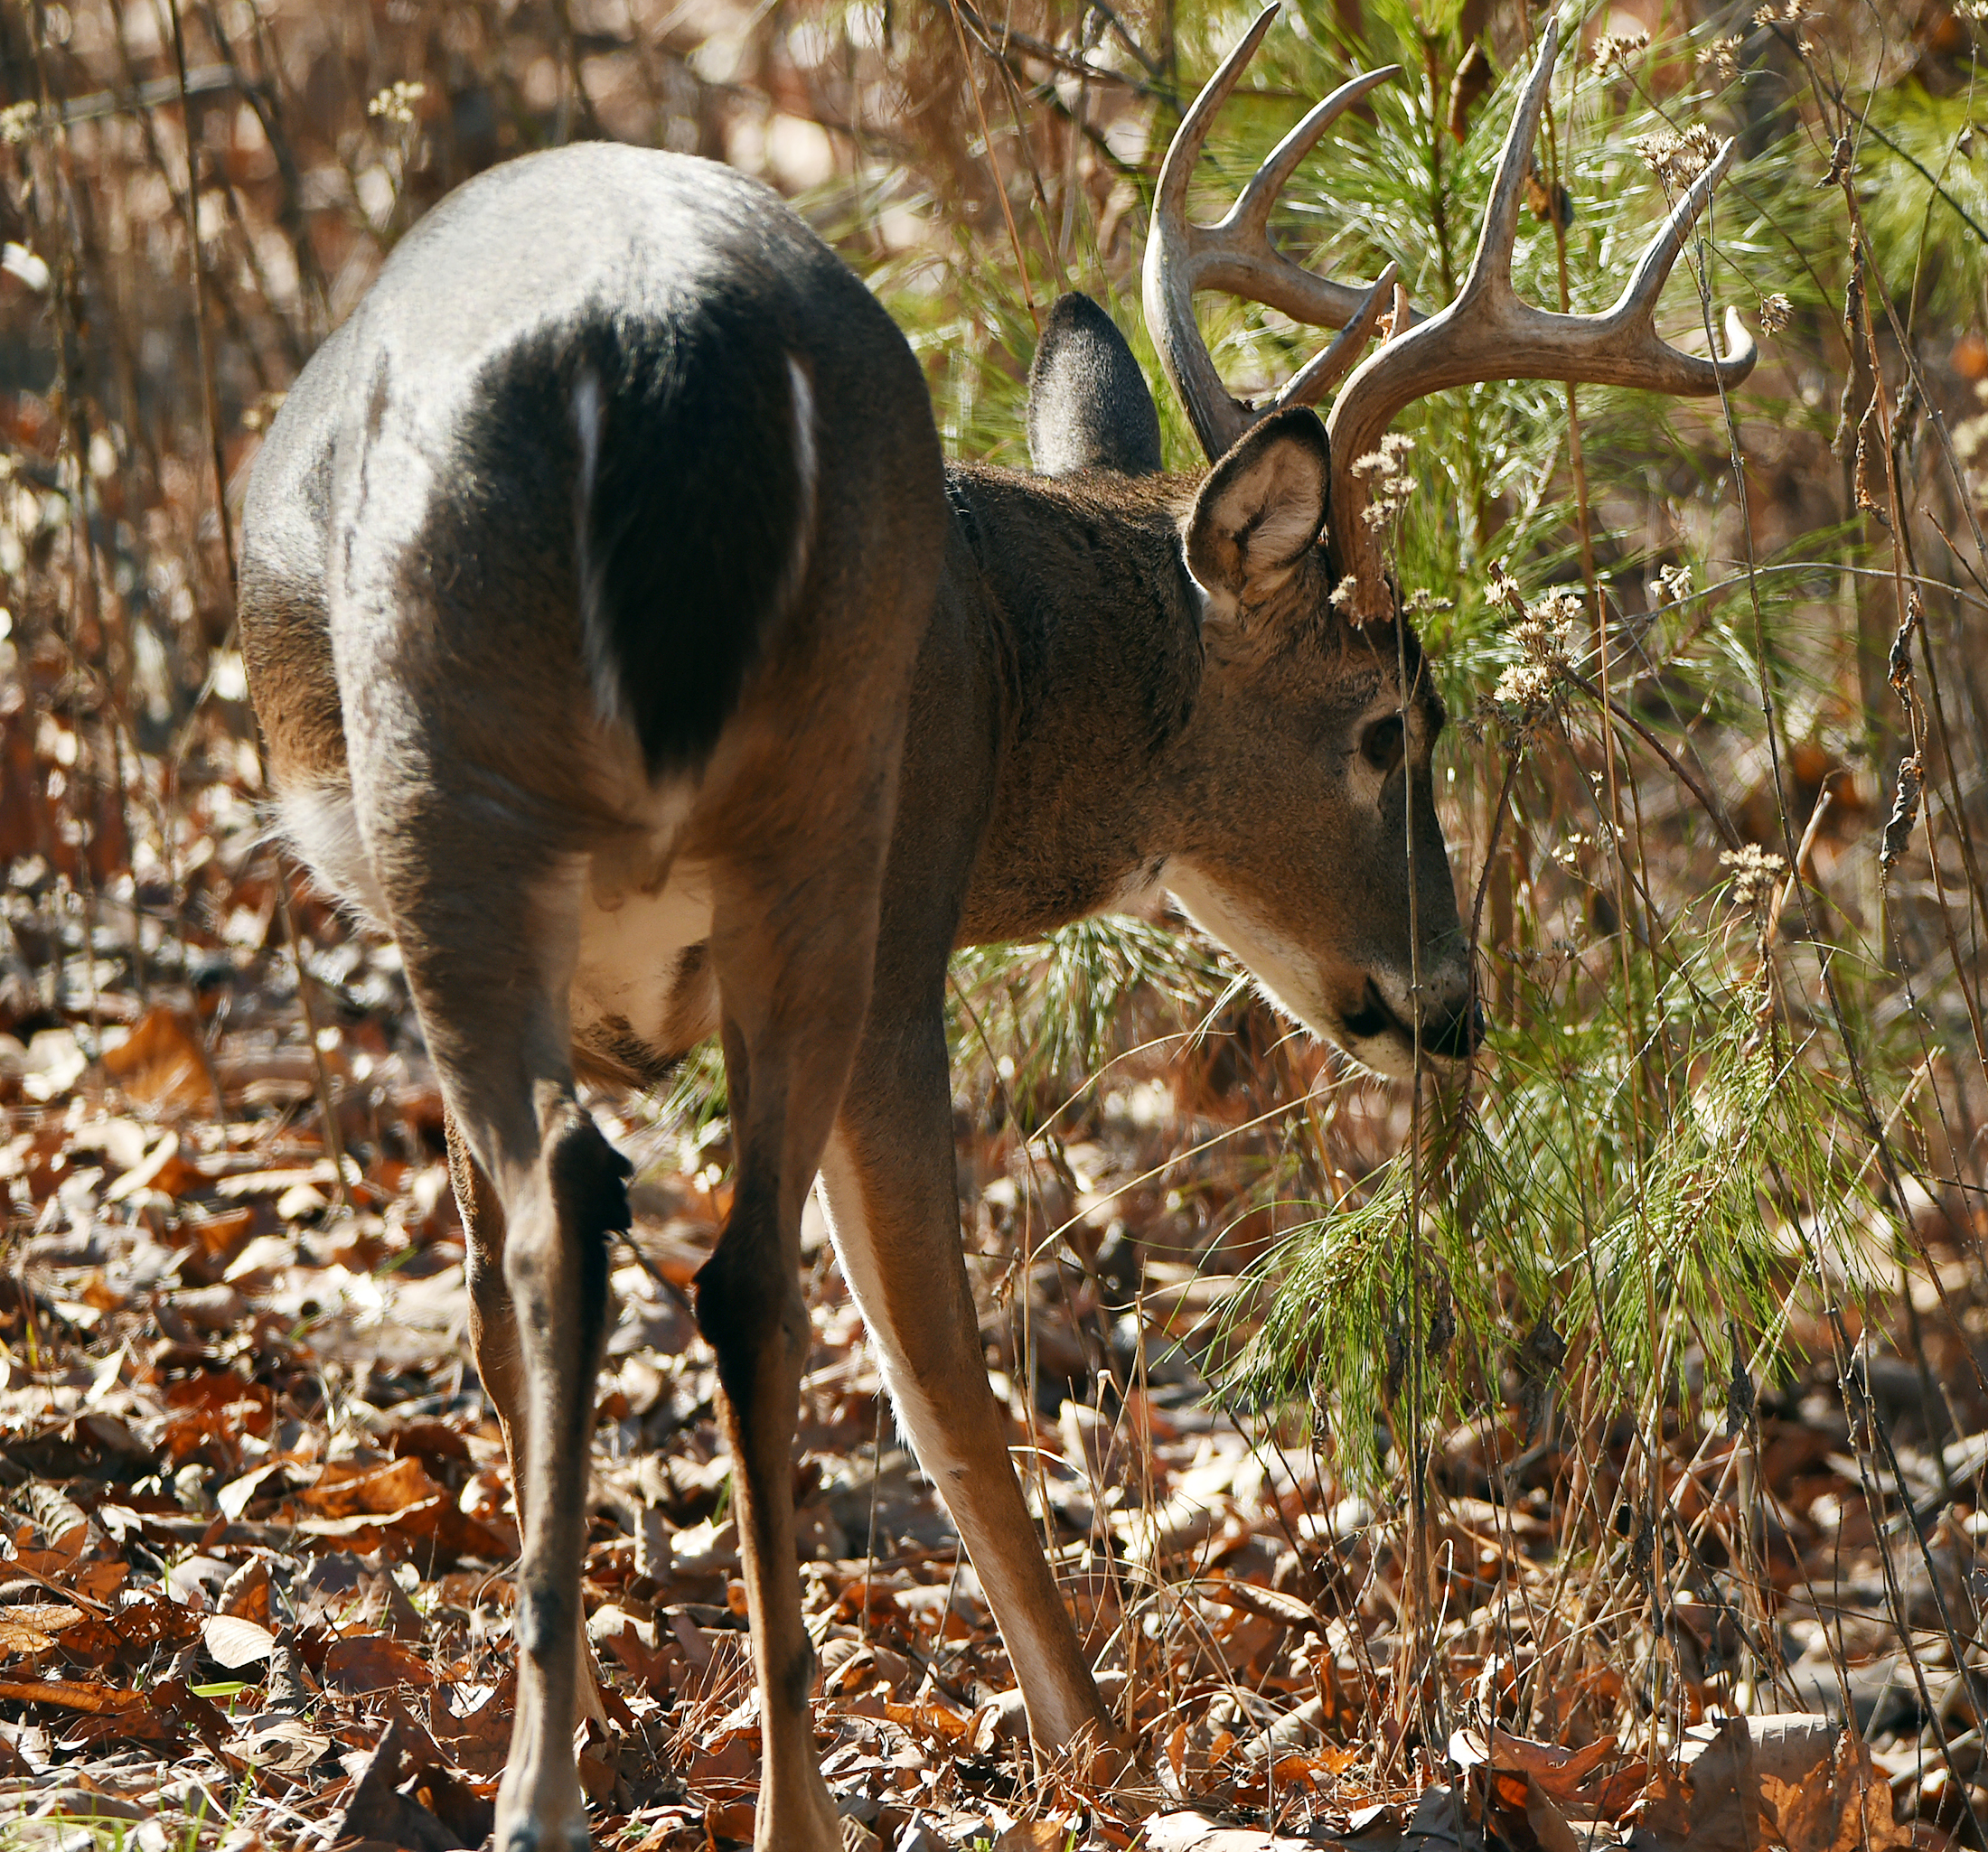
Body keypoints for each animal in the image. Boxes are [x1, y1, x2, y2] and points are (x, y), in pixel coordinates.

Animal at [237, 12, 1754, 1850]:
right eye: (1395, 720)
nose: (1454, 1004)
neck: (1013, 657)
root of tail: (655, 370)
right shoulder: (916, 913)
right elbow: (938, 1381)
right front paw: (1098, 1756)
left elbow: (506, 1313)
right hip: (825, 847)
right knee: (765, 1288)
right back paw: (809, 1792)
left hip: (506, 824)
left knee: (599, 1240)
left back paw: (599, 1788)